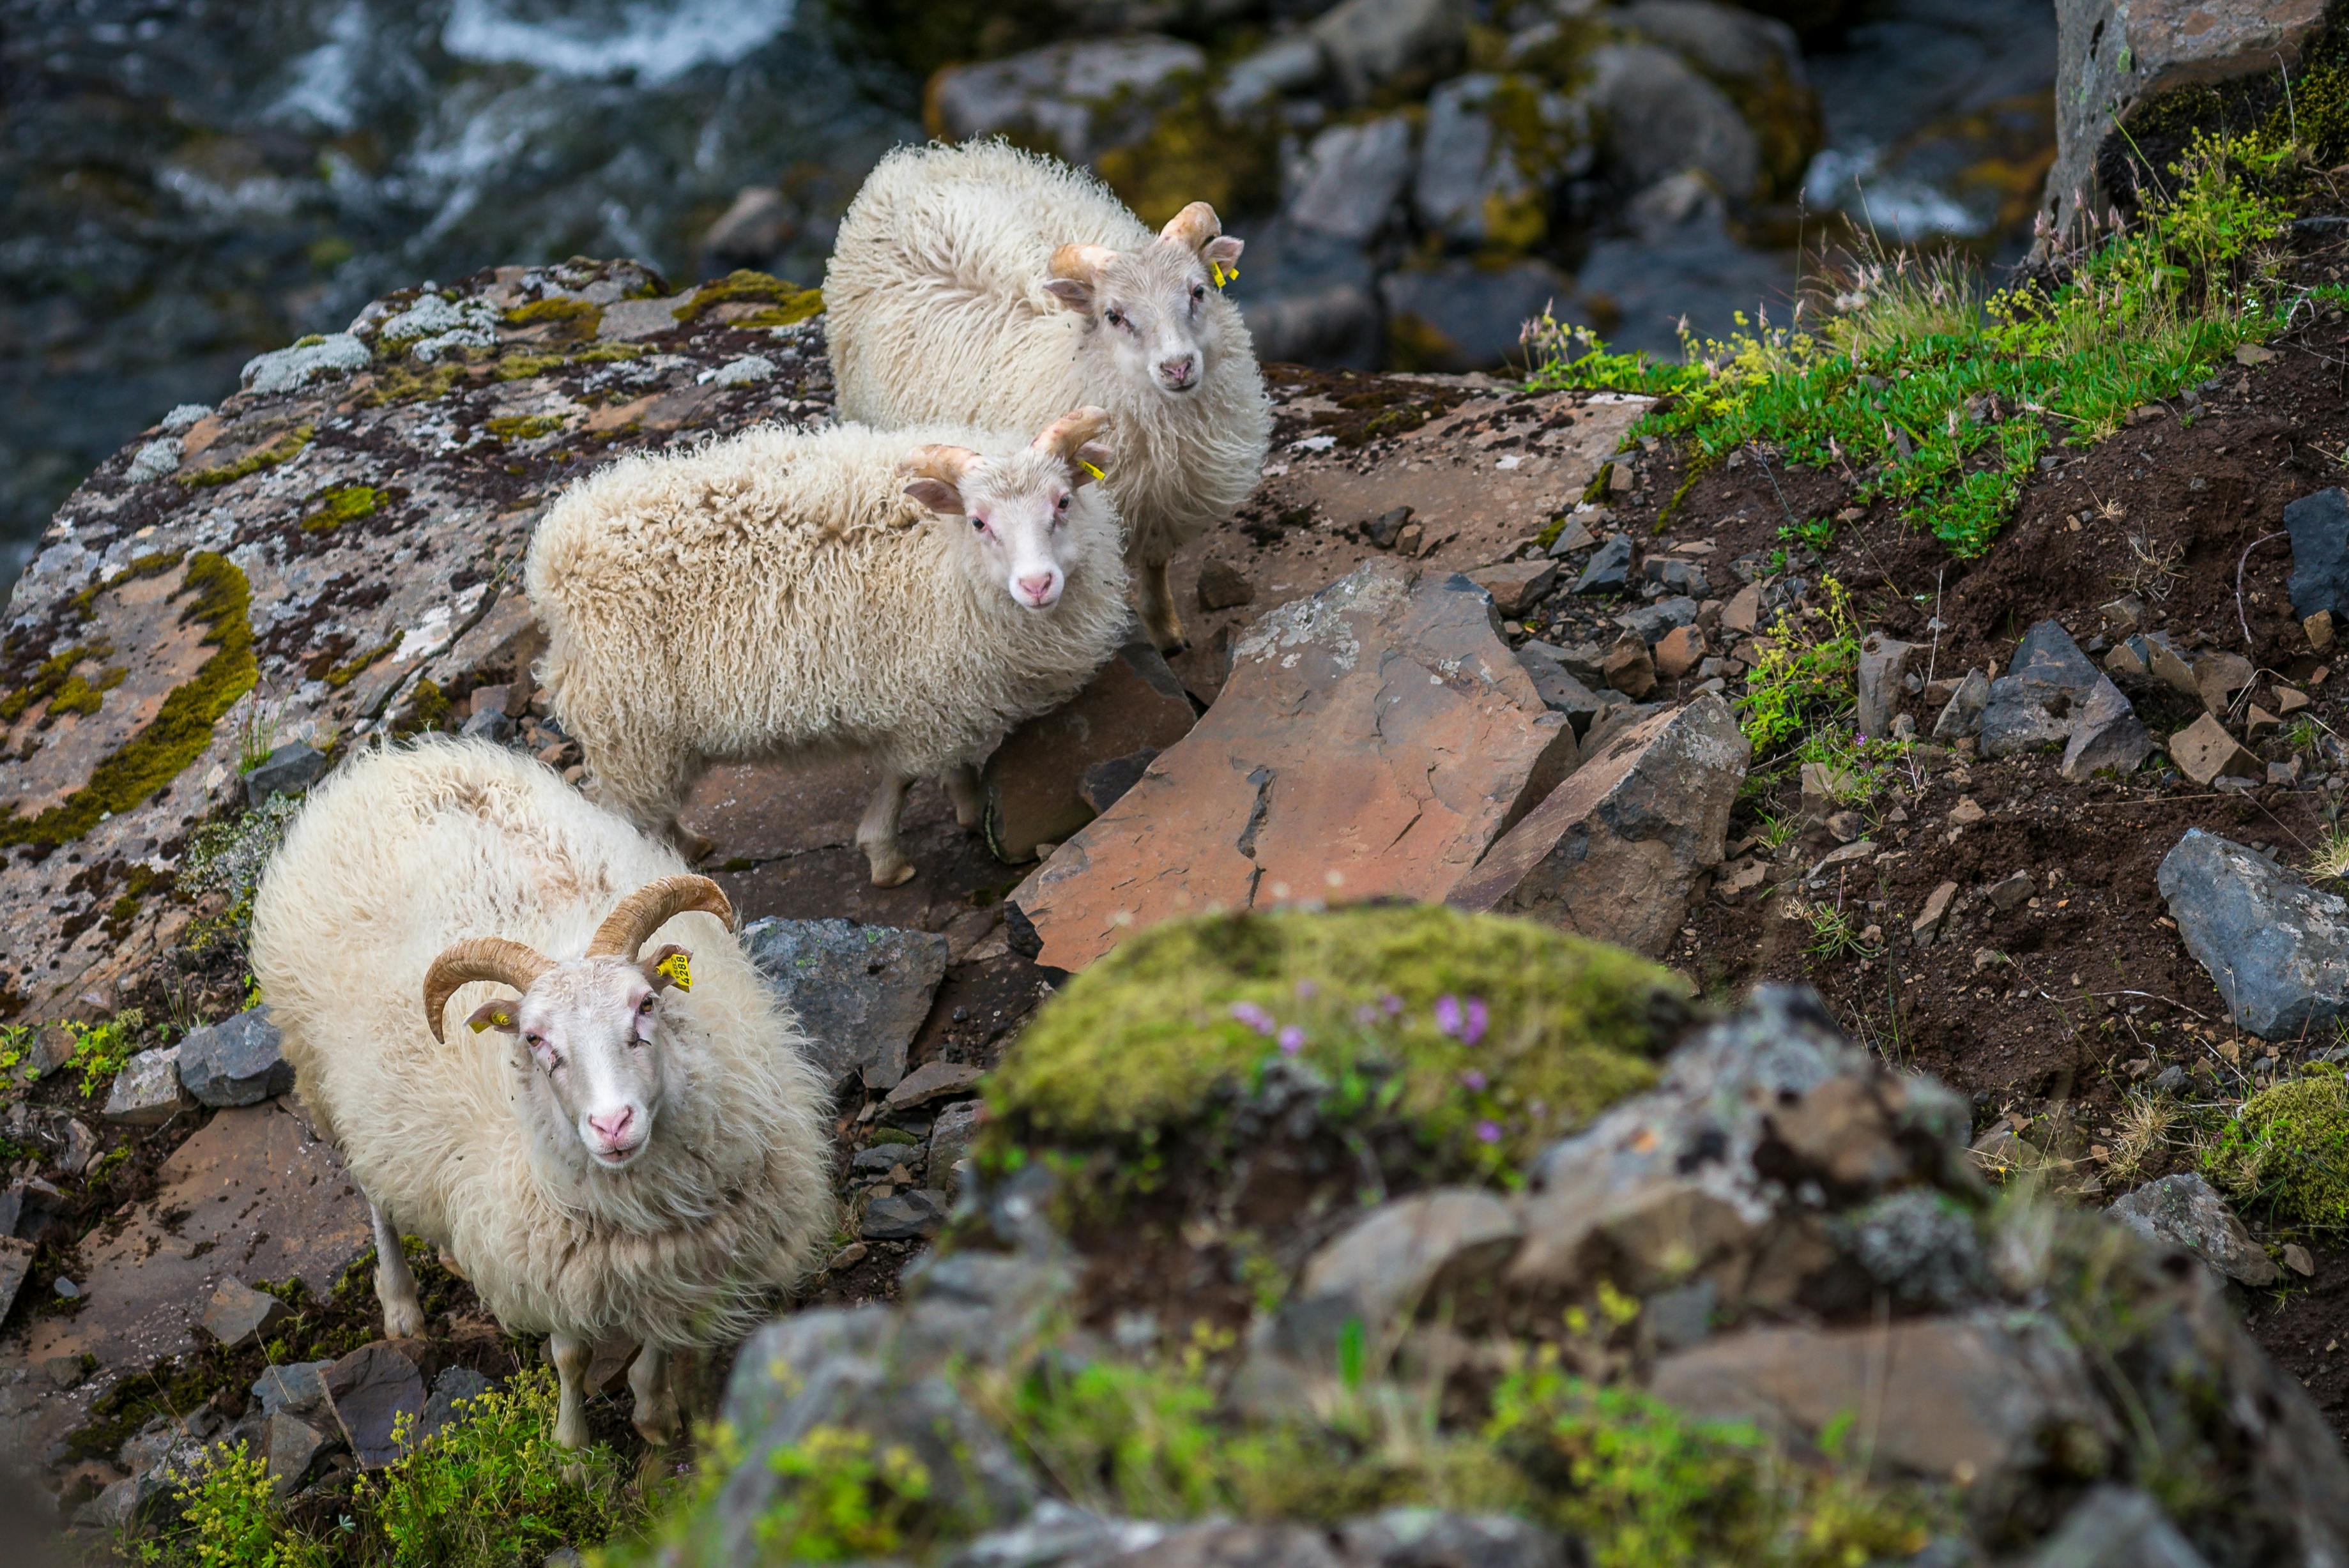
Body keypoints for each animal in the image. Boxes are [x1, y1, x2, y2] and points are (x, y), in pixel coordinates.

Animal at [249, 737, 835, 1449]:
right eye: (534, 1039)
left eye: (646, 1004)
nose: (612, 1125)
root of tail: (388, 761)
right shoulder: (544, 1257)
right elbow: (572, 1355)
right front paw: (572, 1447)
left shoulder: (677, 1258)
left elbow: (659, 1330)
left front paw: (654, 1409)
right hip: (321, 1072)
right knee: (372, 1190)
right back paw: (401, 1303)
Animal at [525, 406, 1130, 887]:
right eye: (980, 522)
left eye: (1063, 501)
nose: (1037, 584)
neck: (946, 553)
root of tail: (554, 557)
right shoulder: (917, 697)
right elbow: (901, 777)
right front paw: (885, 857)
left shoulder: (951, 689)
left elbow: (952, 760)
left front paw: (965, 802)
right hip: (629, 721)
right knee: (630, 811)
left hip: (653, 730)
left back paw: (691, 843)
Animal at [824, 139, 1273, 654]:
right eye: (1114, 315)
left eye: (1198, 291)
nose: (1177, 367)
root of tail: (914, 159)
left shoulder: (1157, 510)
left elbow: (1155, 568)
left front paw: (1168, 633)